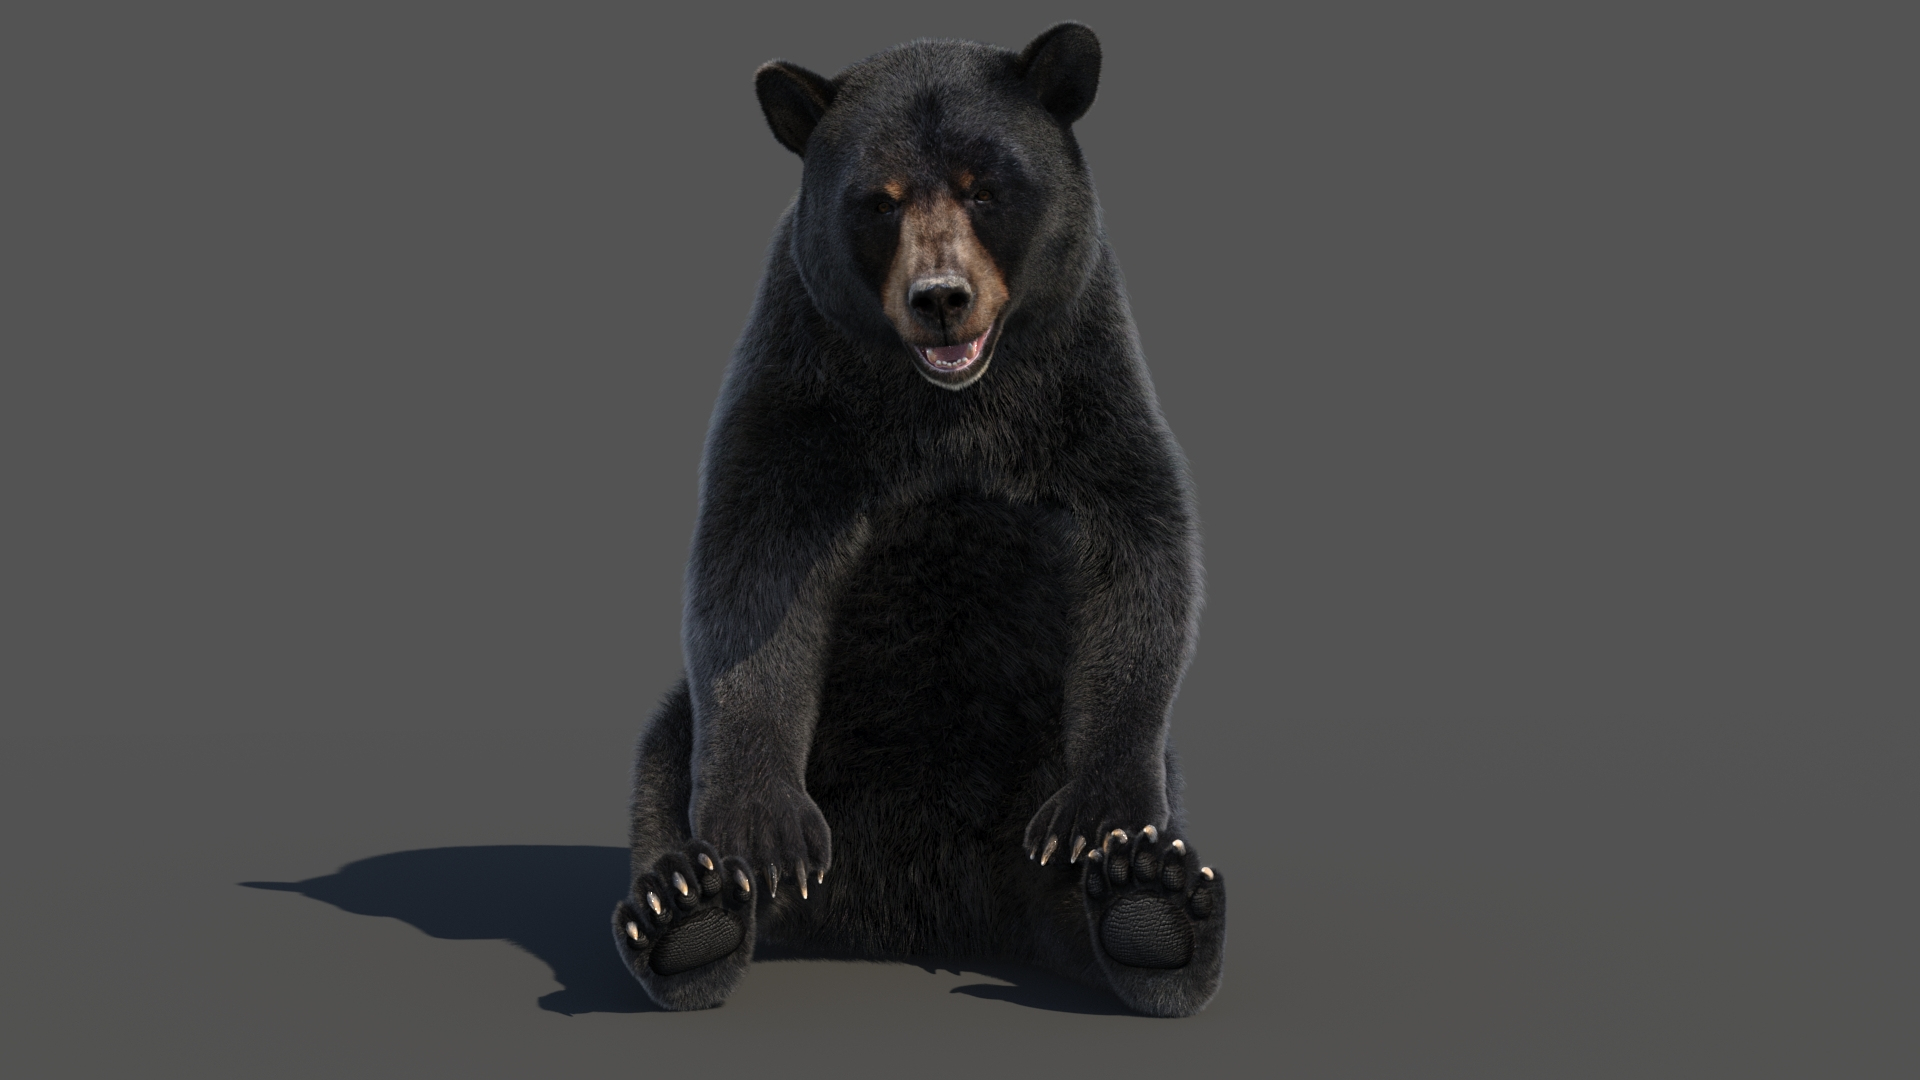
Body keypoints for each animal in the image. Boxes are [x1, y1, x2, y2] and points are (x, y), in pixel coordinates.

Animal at [611, 22, 1225, 1018]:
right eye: (880, 202)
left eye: (986, 188)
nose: (941, 296)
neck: (948, 404)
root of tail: (913, 919)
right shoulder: (806, 392)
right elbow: (755, 570)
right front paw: (765, 830)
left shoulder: (1081, 388)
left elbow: (1135, 549)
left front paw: (1103, 820)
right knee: (666, 754)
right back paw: (687, 908)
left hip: (1032, 753)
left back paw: (1153, 904)